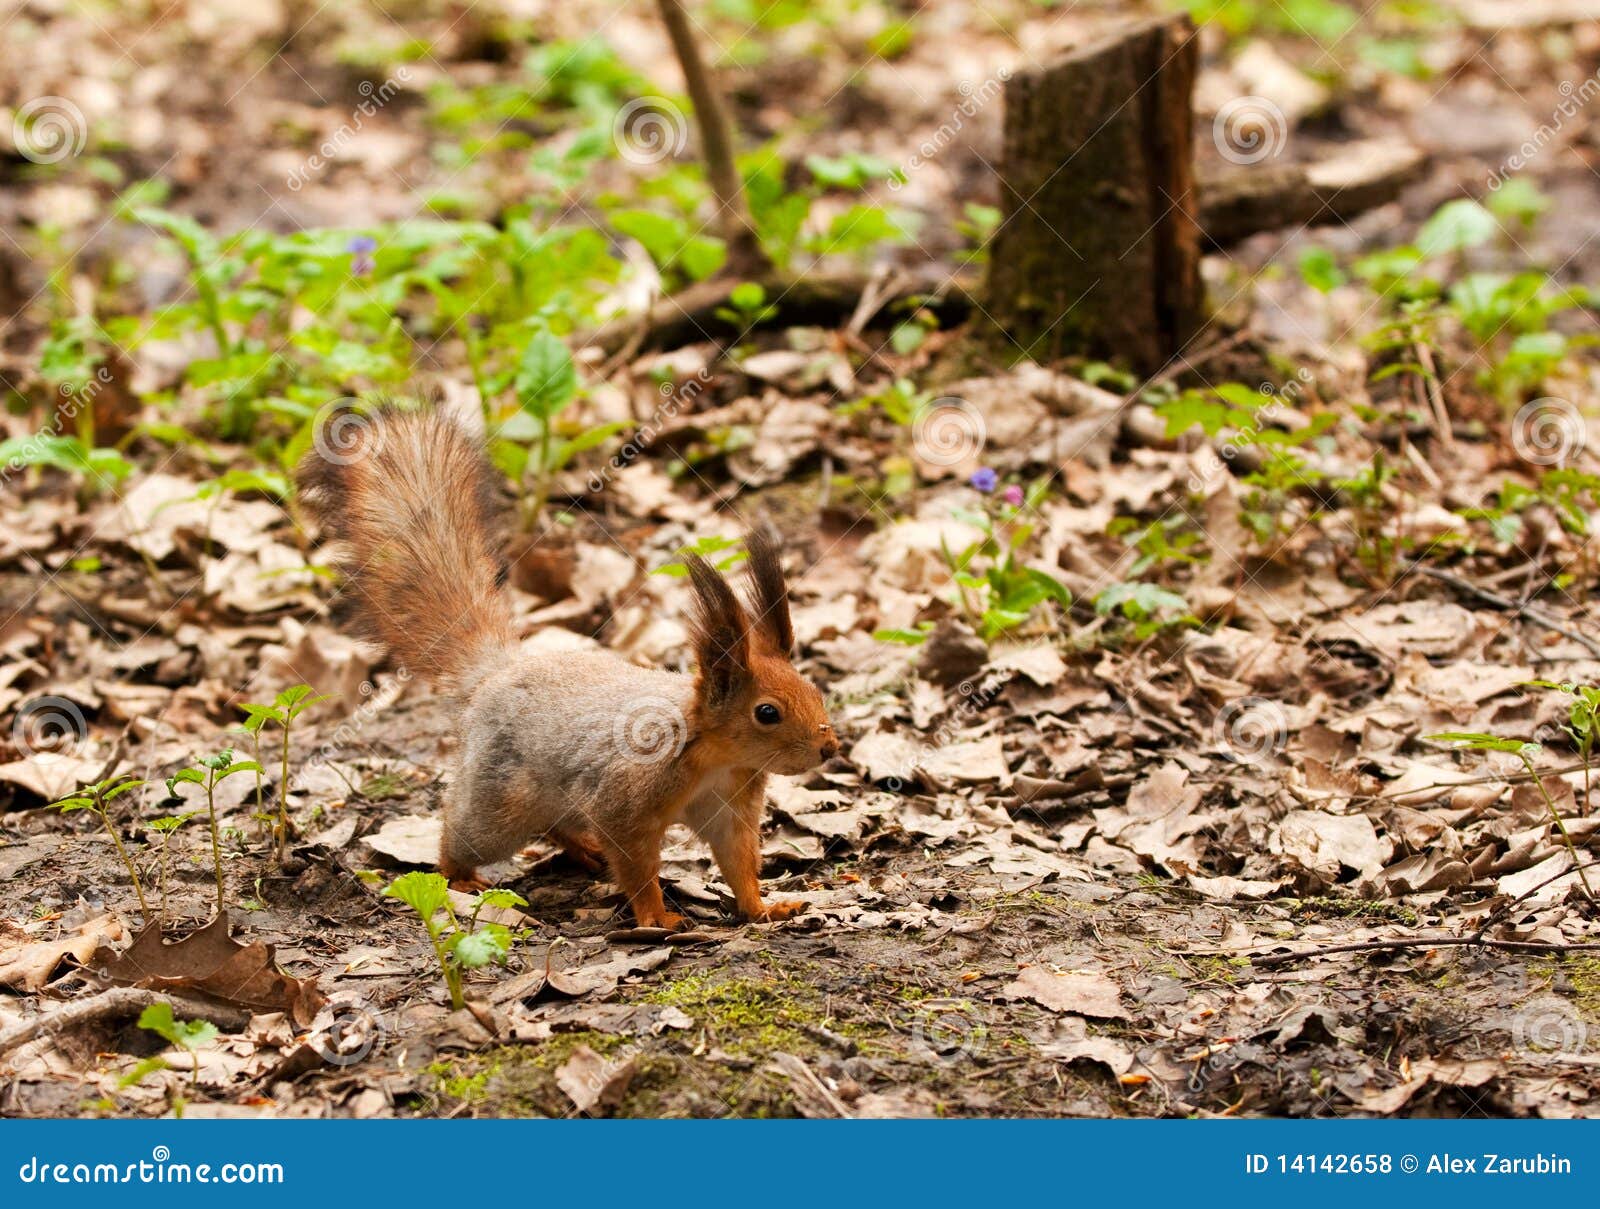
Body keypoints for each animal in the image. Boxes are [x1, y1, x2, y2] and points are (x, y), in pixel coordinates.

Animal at [296, 404, 840, 928]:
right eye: (766, 713)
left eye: (816, 691)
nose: (829, 748)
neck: (715, 756)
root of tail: (495, 673)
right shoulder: (626, 799)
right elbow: (637, 866)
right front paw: (656, 915)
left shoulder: (730, 805)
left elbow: (739, 861)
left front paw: (764, 908)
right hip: (498, 802)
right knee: (464, 833)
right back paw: (462, 875)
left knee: (558, 824)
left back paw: (582, 848)